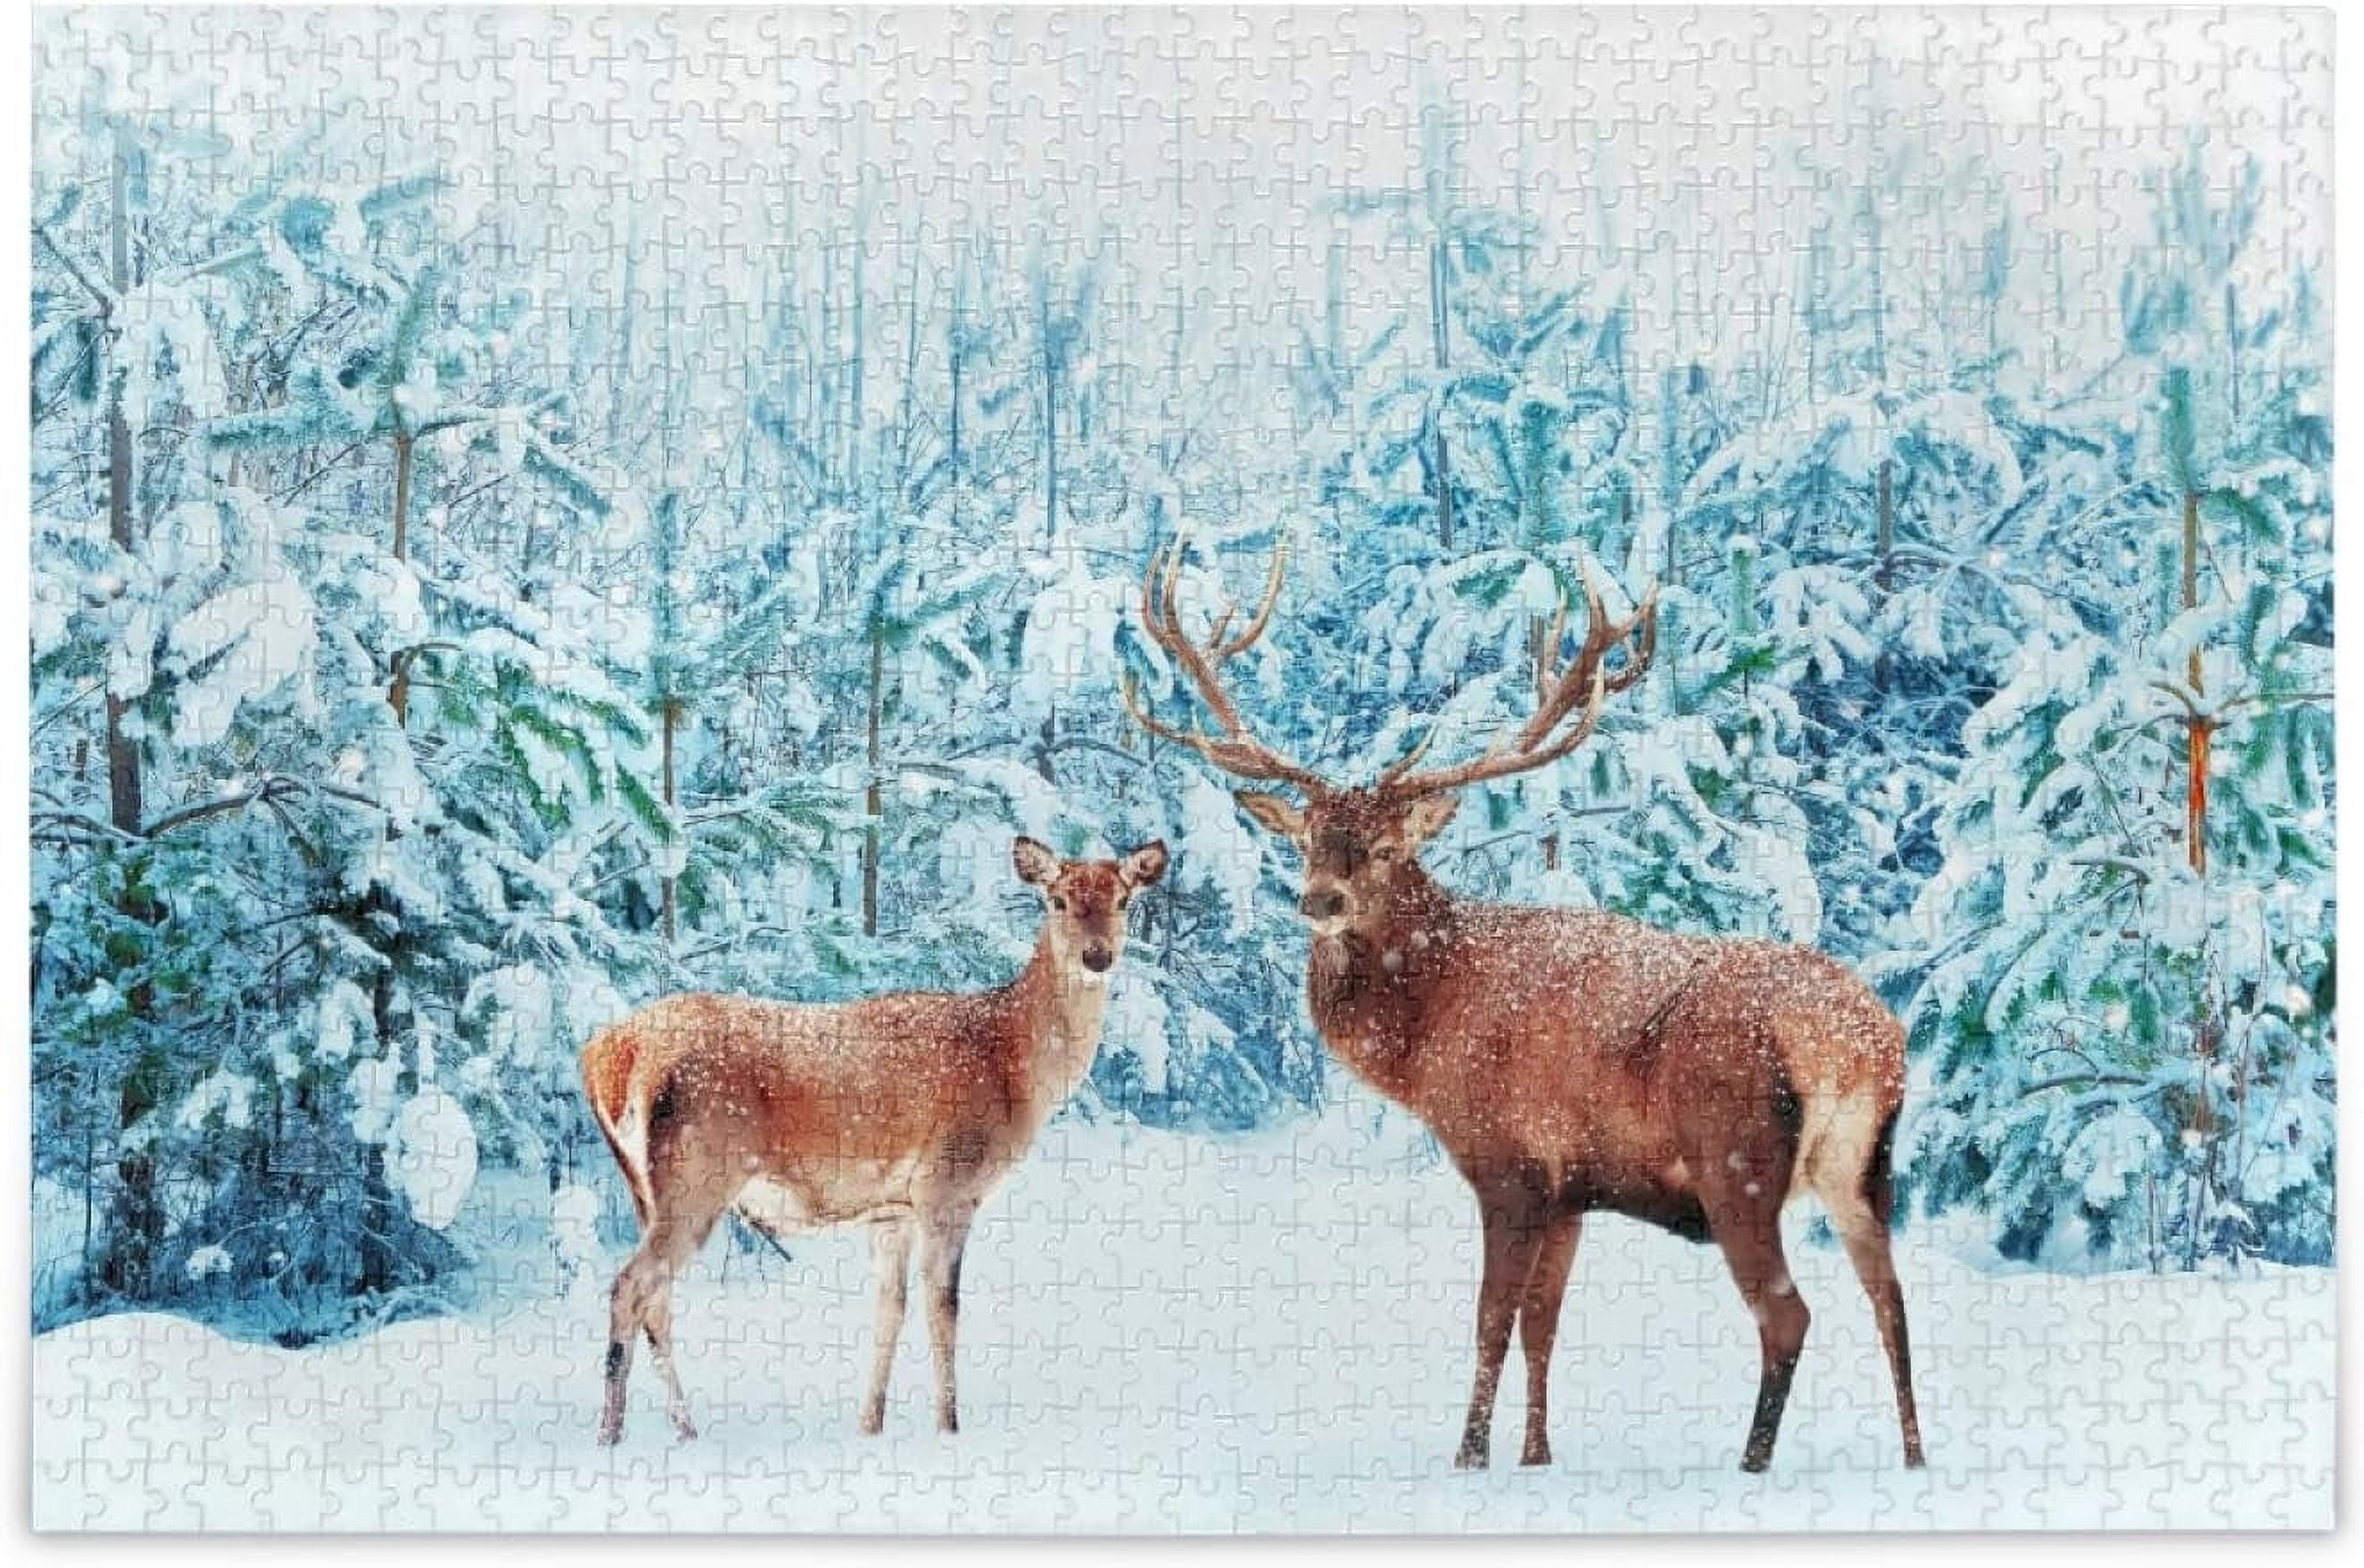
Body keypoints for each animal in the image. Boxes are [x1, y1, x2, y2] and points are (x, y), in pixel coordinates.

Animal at [580, 834, 1168, 1446]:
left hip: (647, 1189)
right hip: (698, 1172)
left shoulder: (892, 1209)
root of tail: (606, 1057)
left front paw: (870, 1426)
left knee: (657, 1301)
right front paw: (949, 1427)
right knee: (630, 1287)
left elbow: (891, 1310)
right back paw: (612, 1436)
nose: (1097, 956)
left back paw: (686, 1430)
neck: (1014, 1066)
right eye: (1057, 899)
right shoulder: (948, 1184)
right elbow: (943, 1307)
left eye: (1123, 899)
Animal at [1121, 539, 1924, 1476]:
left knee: (1788, 1313)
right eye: (1309, 838)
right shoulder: (1572, 1188)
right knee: (1892, 1299)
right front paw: (1537, 1455)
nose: (1319, 900)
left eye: (1386, 848)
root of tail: (1860, 1042)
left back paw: (1751, 1464)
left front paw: (1469, 1457)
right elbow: (1544, 1326)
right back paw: (1914, 1456)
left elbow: (1491, 1323)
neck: (1428, 1033)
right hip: (1865, 1168)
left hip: (1737, 1157)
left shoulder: (1505, 1163)